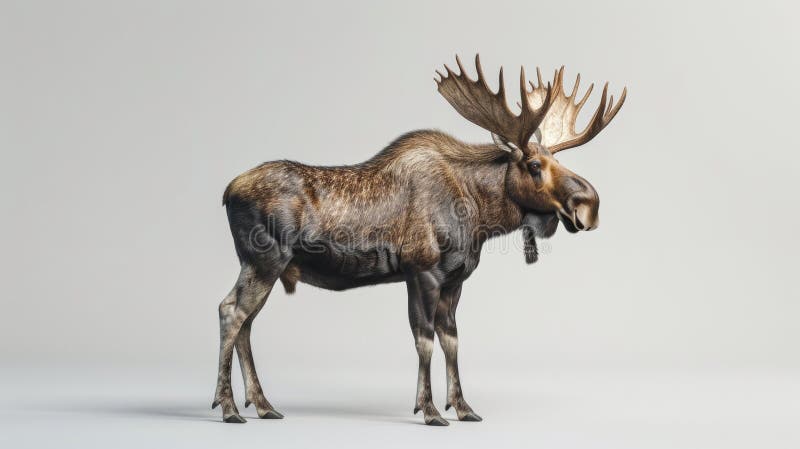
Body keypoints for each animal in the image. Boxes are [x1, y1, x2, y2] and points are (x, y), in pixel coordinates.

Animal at [213, 55, 626, 425]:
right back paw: (230, 408)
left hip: (264, 267)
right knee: (231, 312)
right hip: (263, 260)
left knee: (246, 321)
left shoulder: (455, 280)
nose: (590, 204)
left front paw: (463, 408)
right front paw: (429, 411)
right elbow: (424, 339)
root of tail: (227, 191)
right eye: (535, 165)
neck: (480, 213)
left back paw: (262, 405)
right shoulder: (422, 271)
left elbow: (451, 339)